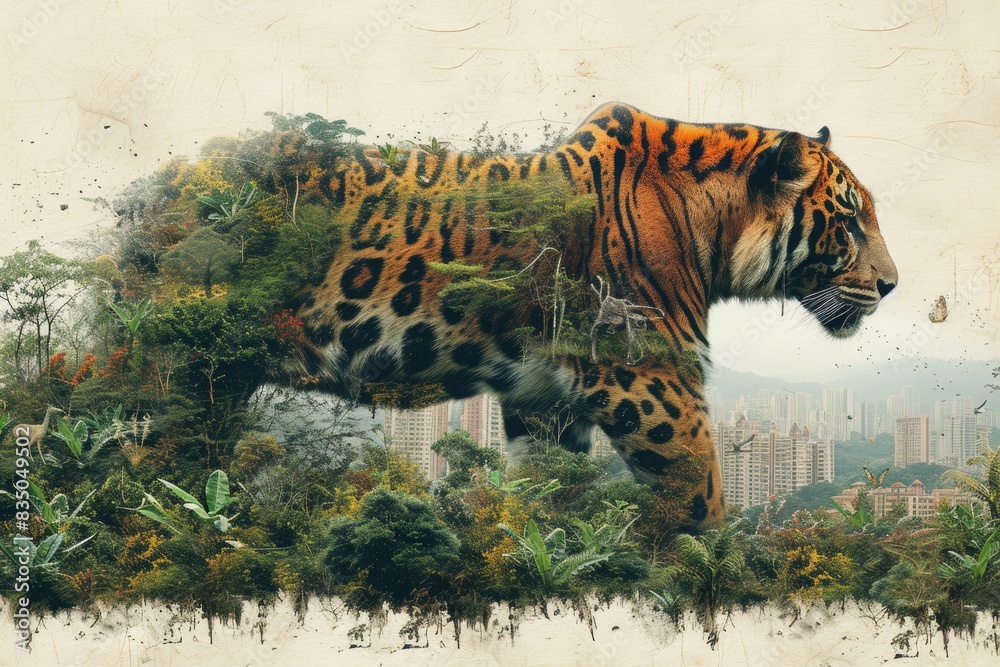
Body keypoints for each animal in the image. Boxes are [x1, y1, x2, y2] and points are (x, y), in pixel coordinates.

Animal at [290, 102, 898, 526]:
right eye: (848, 222)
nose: (891, 286)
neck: (709, 226)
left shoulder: (543, 402)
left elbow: (550, 496)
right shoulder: (654, 382)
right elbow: (700, 505)